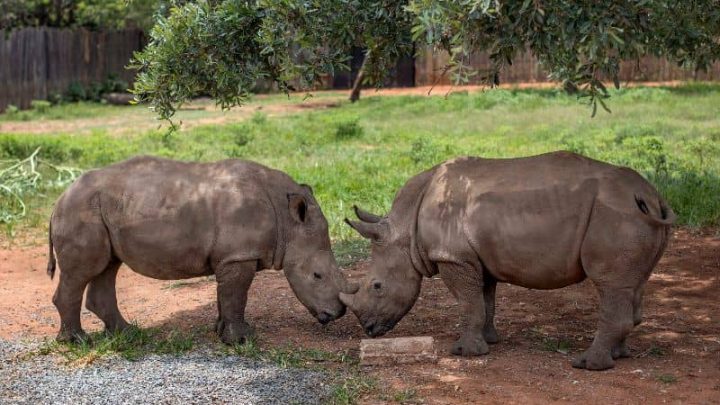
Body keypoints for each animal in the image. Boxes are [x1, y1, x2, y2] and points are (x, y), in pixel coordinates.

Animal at [47, 156, 358, 342]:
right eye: (317, 275)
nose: (336, 313)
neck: (287, 220)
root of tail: (59, 199)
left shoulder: (229, 257)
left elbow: (226, 296)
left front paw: (221, 333)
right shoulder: (239, 255)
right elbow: (236, 296)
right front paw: (242, 340)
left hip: (100, 210)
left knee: (107, 266)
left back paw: (128, 333)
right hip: (80, 210)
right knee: (84, 272)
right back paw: (78, 342)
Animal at [342, 151, 676, 370]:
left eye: (376, 286)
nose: (369, 329)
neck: (404, 229)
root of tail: (651, 196)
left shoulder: (453, 257)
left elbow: (470, 303)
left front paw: (464, 352)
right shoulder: (476, 258)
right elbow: (485, 301)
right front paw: (490, 341)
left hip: (615, 215)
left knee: (609, 284)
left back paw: (587, 364)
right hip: (636, 219)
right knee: (631, 285)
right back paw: (619, 356)